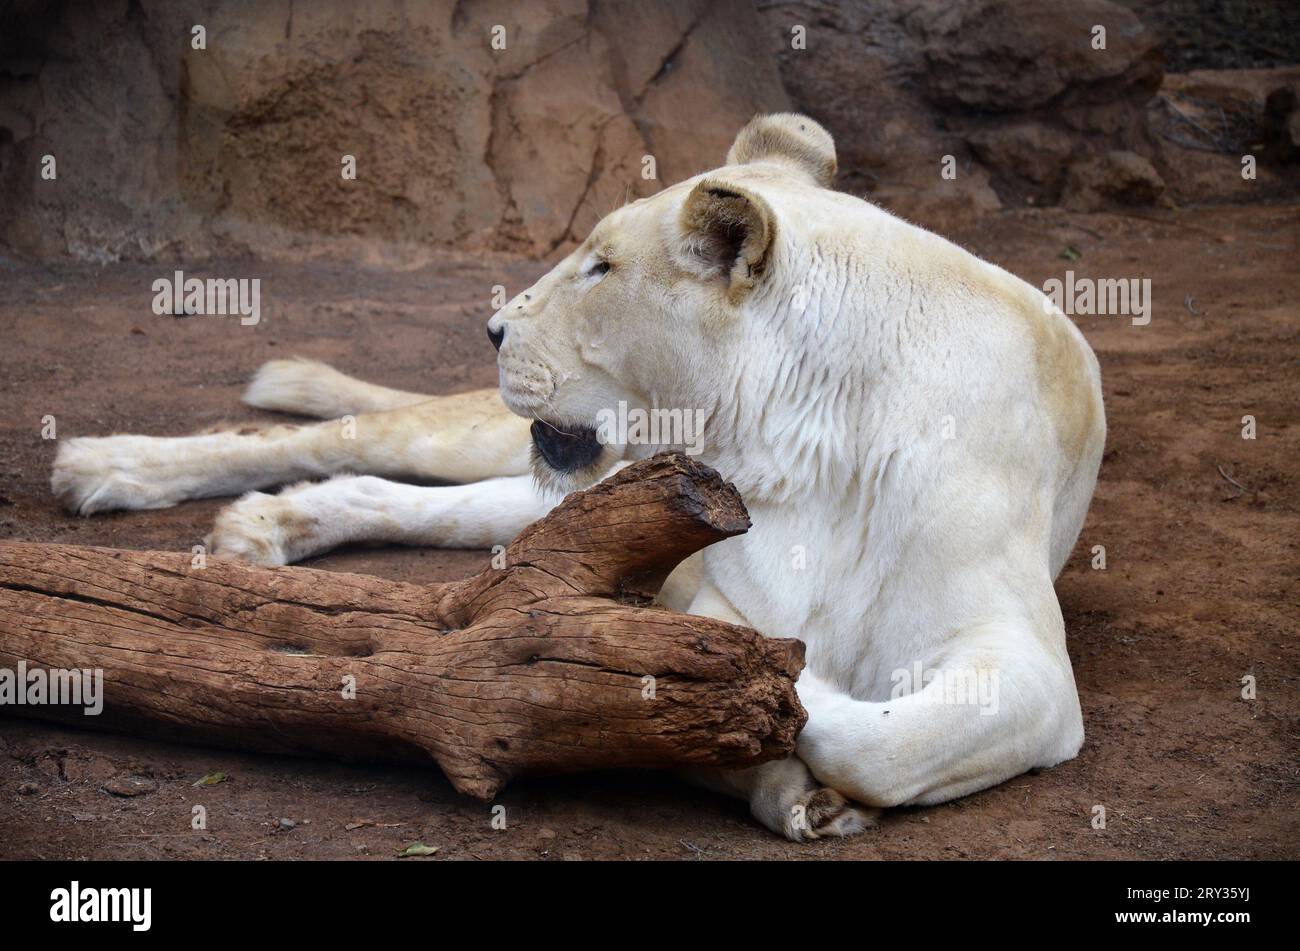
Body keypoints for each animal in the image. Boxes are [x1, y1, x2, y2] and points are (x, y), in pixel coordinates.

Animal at [51, 114, 1106, 842]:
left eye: (601, 267)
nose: (491, 329)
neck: (806, 427)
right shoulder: (718, 578)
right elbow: (766, 669)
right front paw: (766, 702)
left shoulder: (1026, 664)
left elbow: (885, 739)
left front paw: (811, 779)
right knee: (357, 435)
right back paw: (107, 465)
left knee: (419, 504)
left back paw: (265, 529)